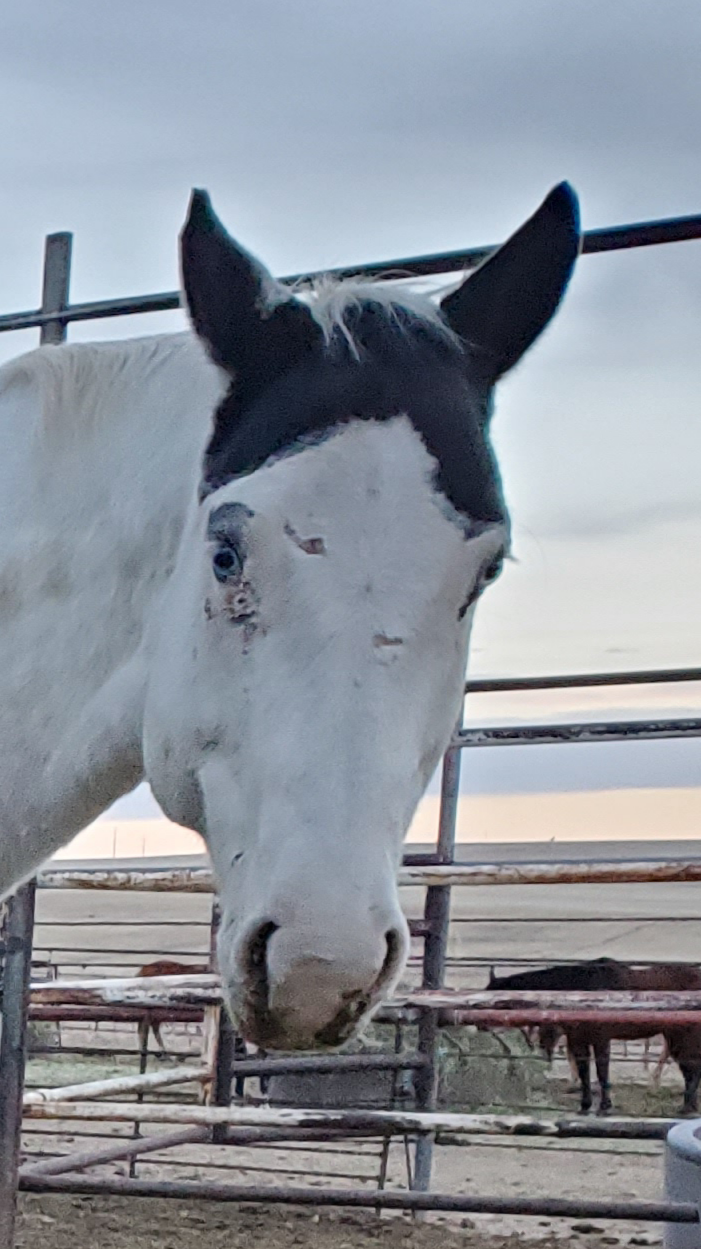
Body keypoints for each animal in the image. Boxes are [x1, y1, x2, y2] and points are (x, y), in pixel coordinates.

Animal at [487, 959, 701, 1116]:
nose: (483, 1025)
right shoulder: (579, 1040)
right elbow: (584, 1073)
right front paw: (586, 1105)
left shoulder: (600, 1039)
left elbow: (601, 1071)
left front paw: (604, 1107)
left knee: (691, 1068)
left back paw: (687, 1108)